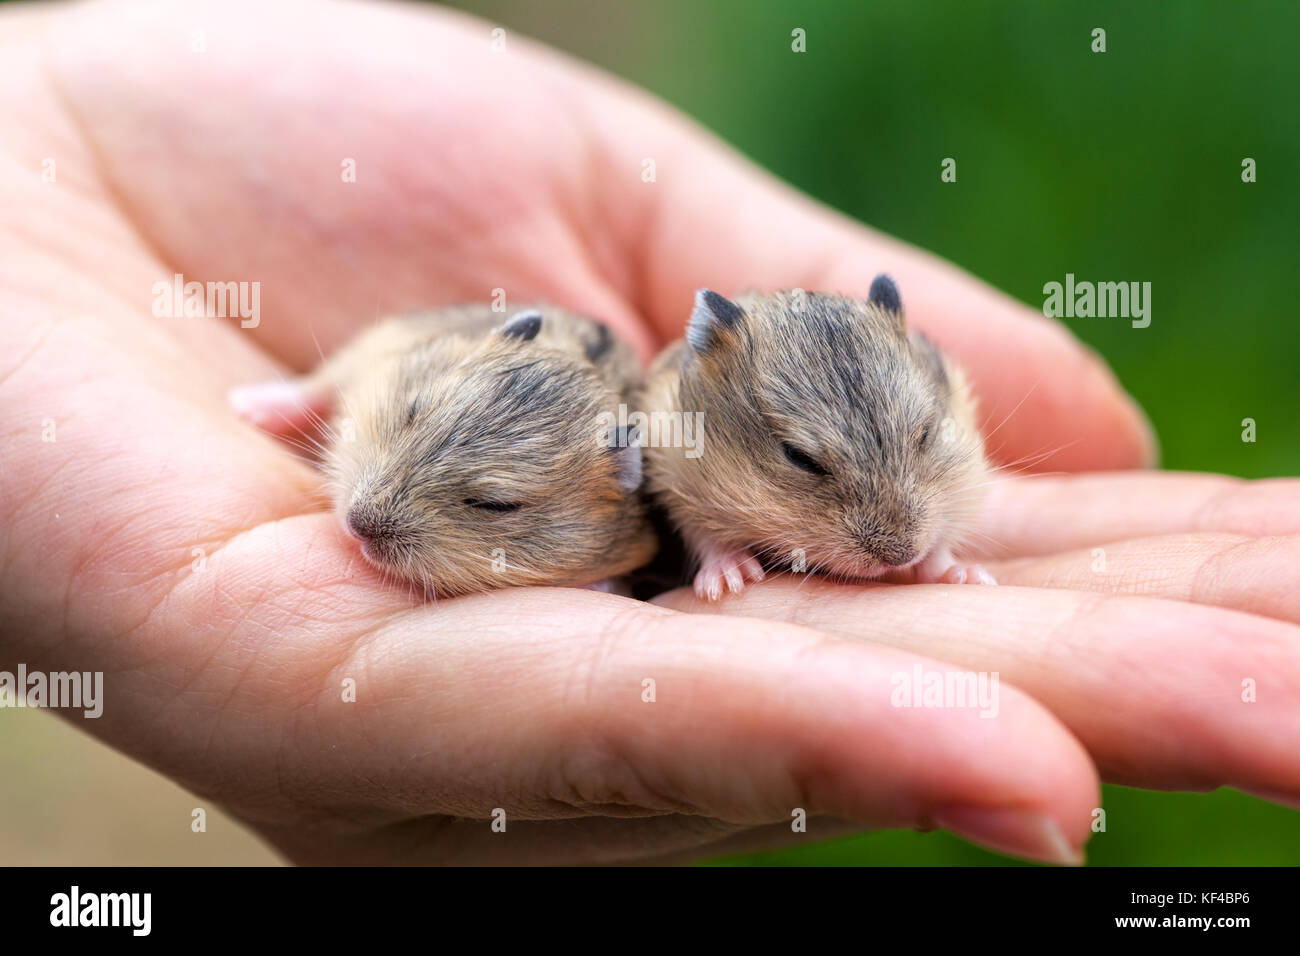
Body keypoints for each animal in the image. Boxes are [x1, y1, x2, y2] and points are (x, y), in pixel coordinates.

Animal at [640, 275, 995, 601]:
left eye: (925, 433)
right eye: (799, 457)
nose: (900, 558)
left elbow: (939, 549)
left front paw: (969, 576)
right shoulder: (674, 473)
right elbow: (707, 537)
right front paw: (729, 582)